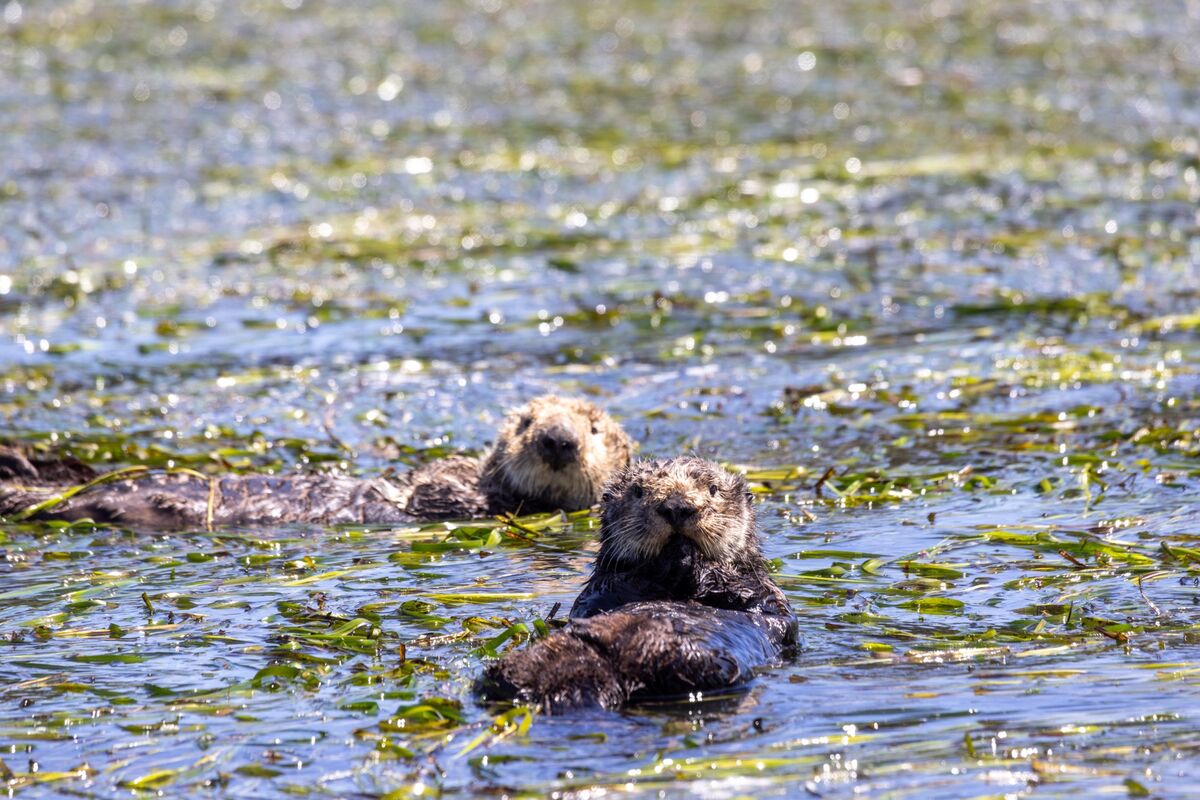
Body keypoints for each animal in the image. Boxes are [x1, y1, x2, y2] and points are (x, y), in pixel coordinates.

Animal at [476, 457, 798, 712]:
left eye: (713, 489)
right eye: (638, 491)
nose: (676, 507)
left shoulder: (768, 593)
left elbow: (754, 599)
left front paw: (692, 560)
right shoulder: (596, 590)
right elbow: (601, 597)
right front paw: (670, 559)